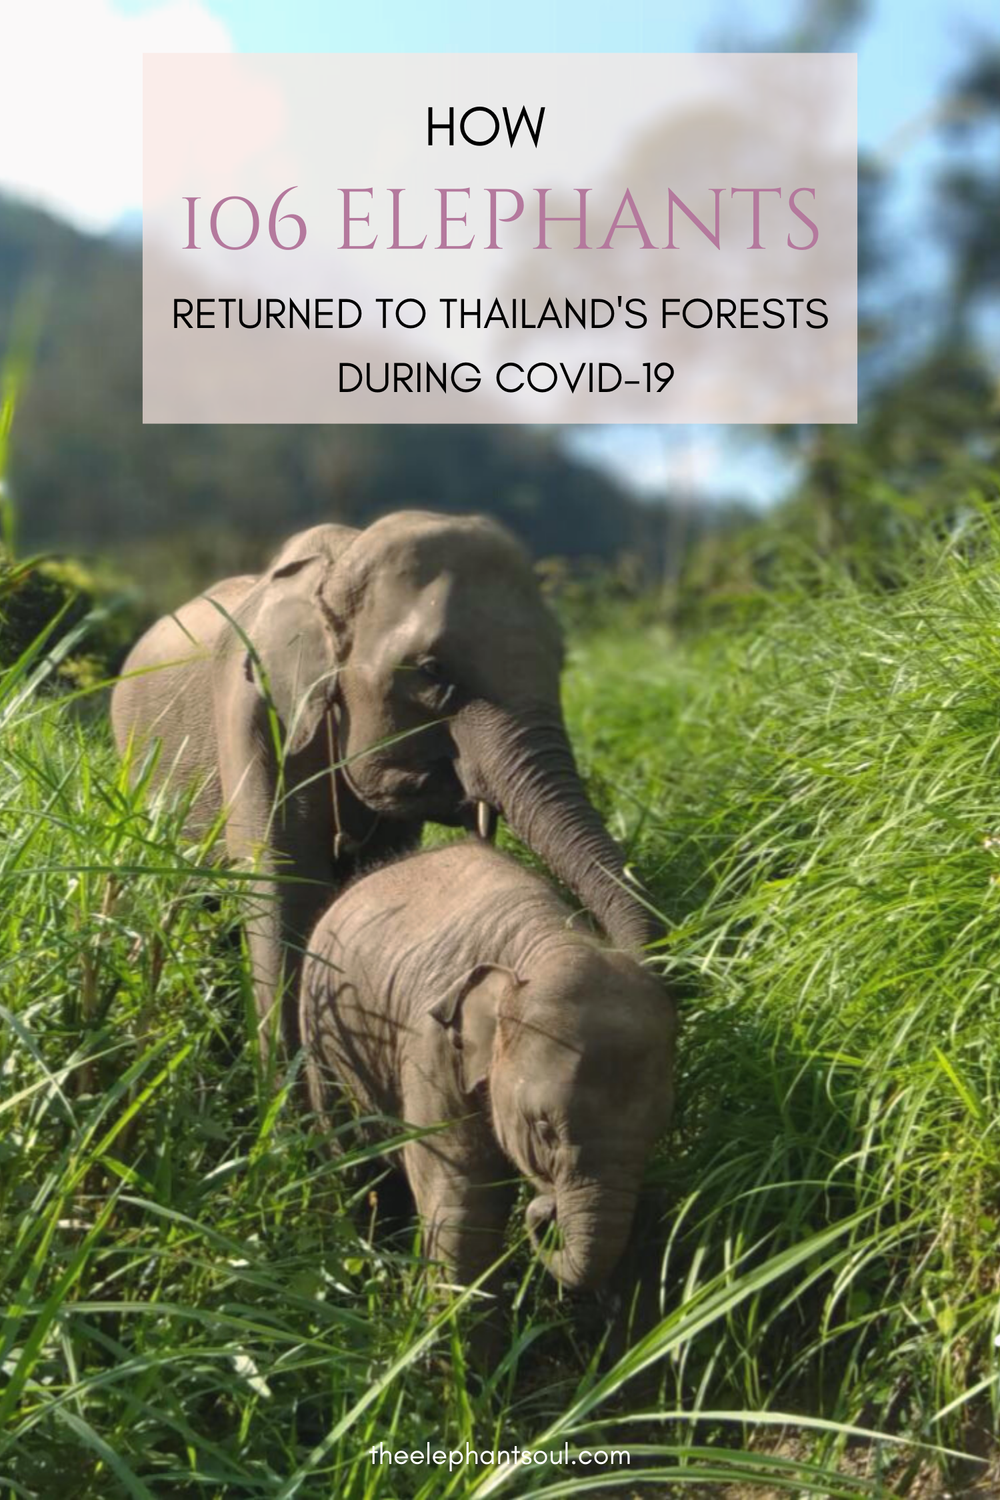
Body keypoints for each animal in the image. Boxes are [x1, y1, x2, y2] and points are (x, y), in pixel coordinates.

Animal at [110, 511, 660, 1055]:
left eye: (561, 659)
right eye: (431, 670)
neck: (337, 568)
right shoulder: (252, 716)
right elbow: (281, 882)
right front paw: (284, 1079)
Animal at [300, 839, 677, 1293]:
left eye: (655, 1132)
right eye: (545, 1129)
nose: (545, 1209)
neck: (548, 941)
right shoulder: (432, 1053)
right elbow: (462, 1200)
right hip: (323, 1037)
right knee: (352, 1161)